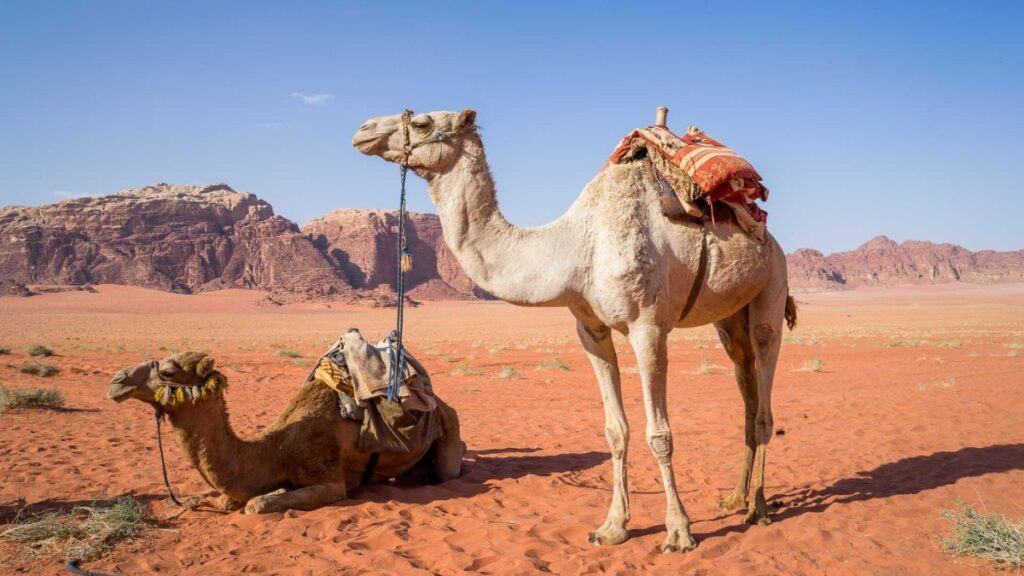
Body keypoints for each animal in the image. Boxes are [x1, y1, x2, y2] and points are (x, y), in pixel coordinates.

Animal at [108, 334, 465, 514]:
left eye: (169, 371)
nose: (117, 381)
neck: (275, 450)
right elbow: (225, 499)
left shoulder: (331, 482)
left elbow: (256, 503)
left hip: (449, 425)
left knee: (450, 465)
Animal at [352, 109, 796, 553]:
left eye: (422, 122)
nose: (363, 130)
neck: (576, 248)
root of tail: (768, 235)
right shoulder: (590, 330)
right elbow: (615, 430)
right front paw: (613, 526)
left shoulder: (648, 326)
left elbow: (659, 433)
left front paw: (678, 531)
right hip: (729, 317)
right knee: (744, 383)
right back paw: (735, 498)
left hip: (771, 287)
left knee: (763, 393)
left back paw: (758, 508)